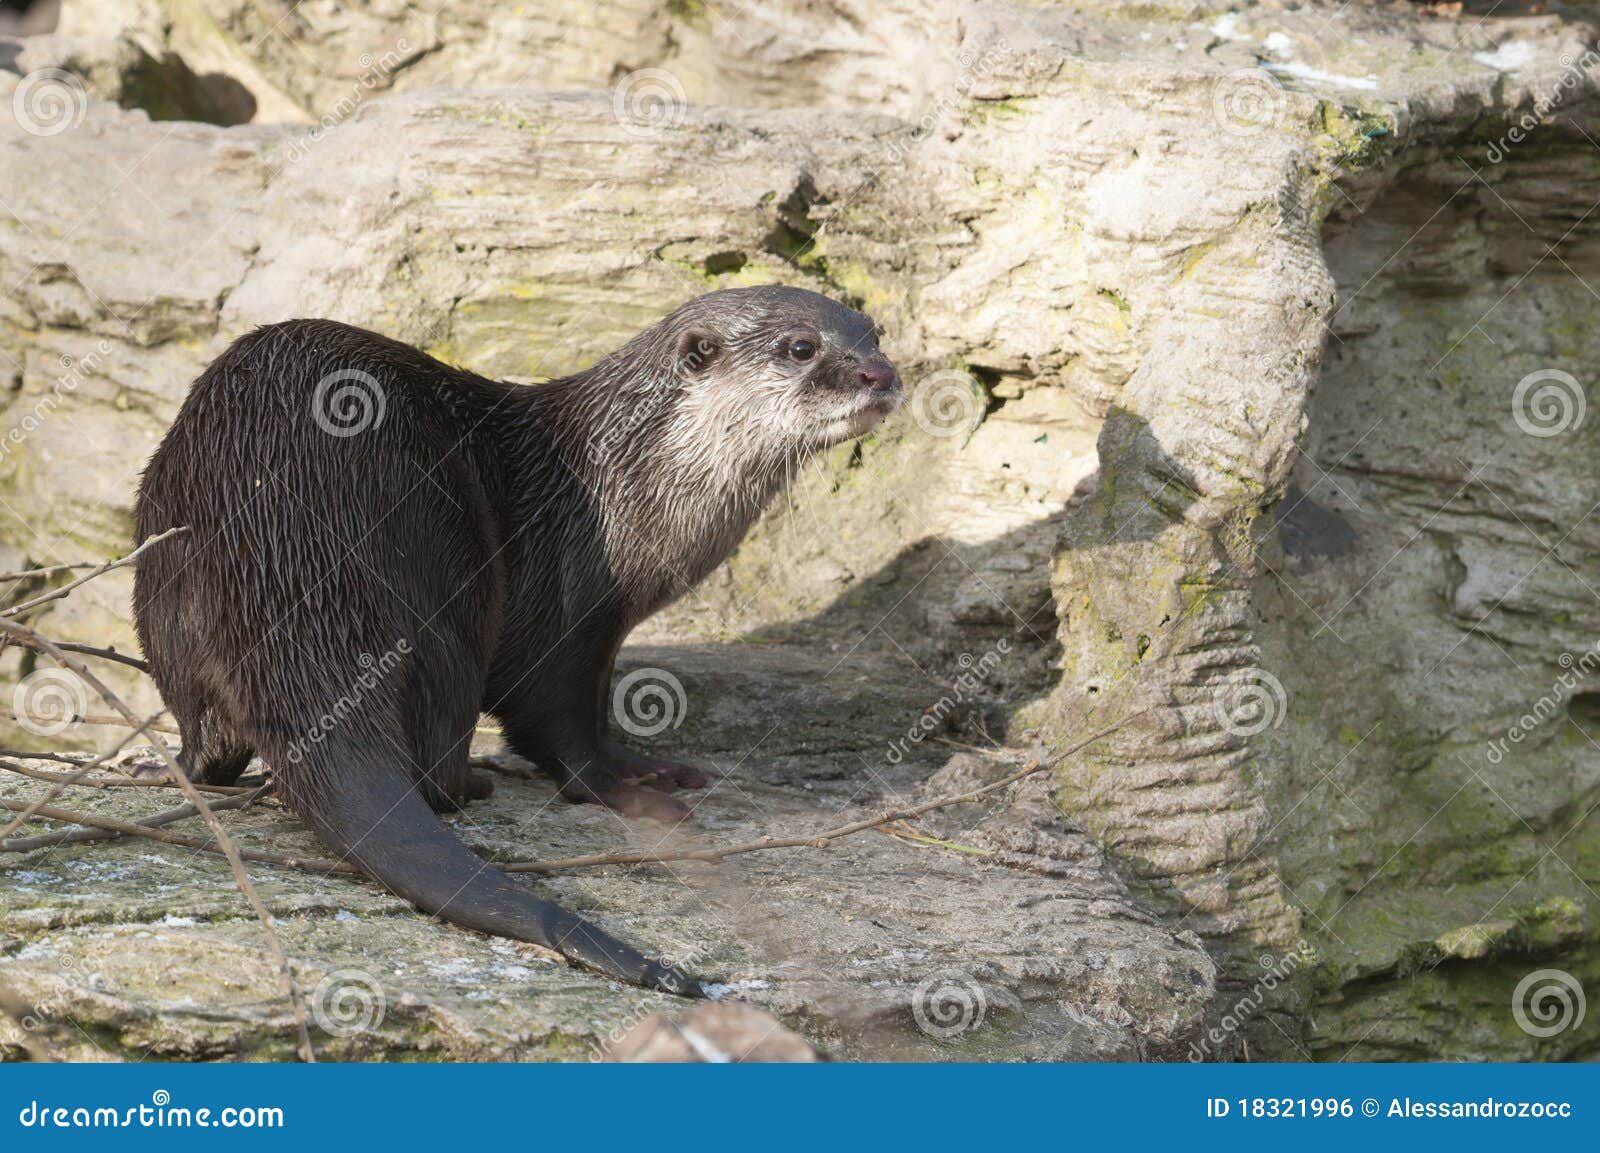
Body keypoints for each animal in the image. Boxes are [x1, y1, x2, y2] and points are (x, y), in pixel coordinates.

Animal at [132, 286, 901, 994]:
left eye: (876, 332)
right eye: (801, 347)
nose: (880, 374)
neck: (622, 481)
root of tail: (280, 555)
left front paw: (642, 762)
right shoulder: (567, 602)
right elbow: (558, 721)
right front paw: (621, 785)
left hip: (164, 596)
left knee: (208, 734)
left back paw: (166, 768)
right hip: (451, 591)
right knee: (439, 751)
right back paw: (473, 782)